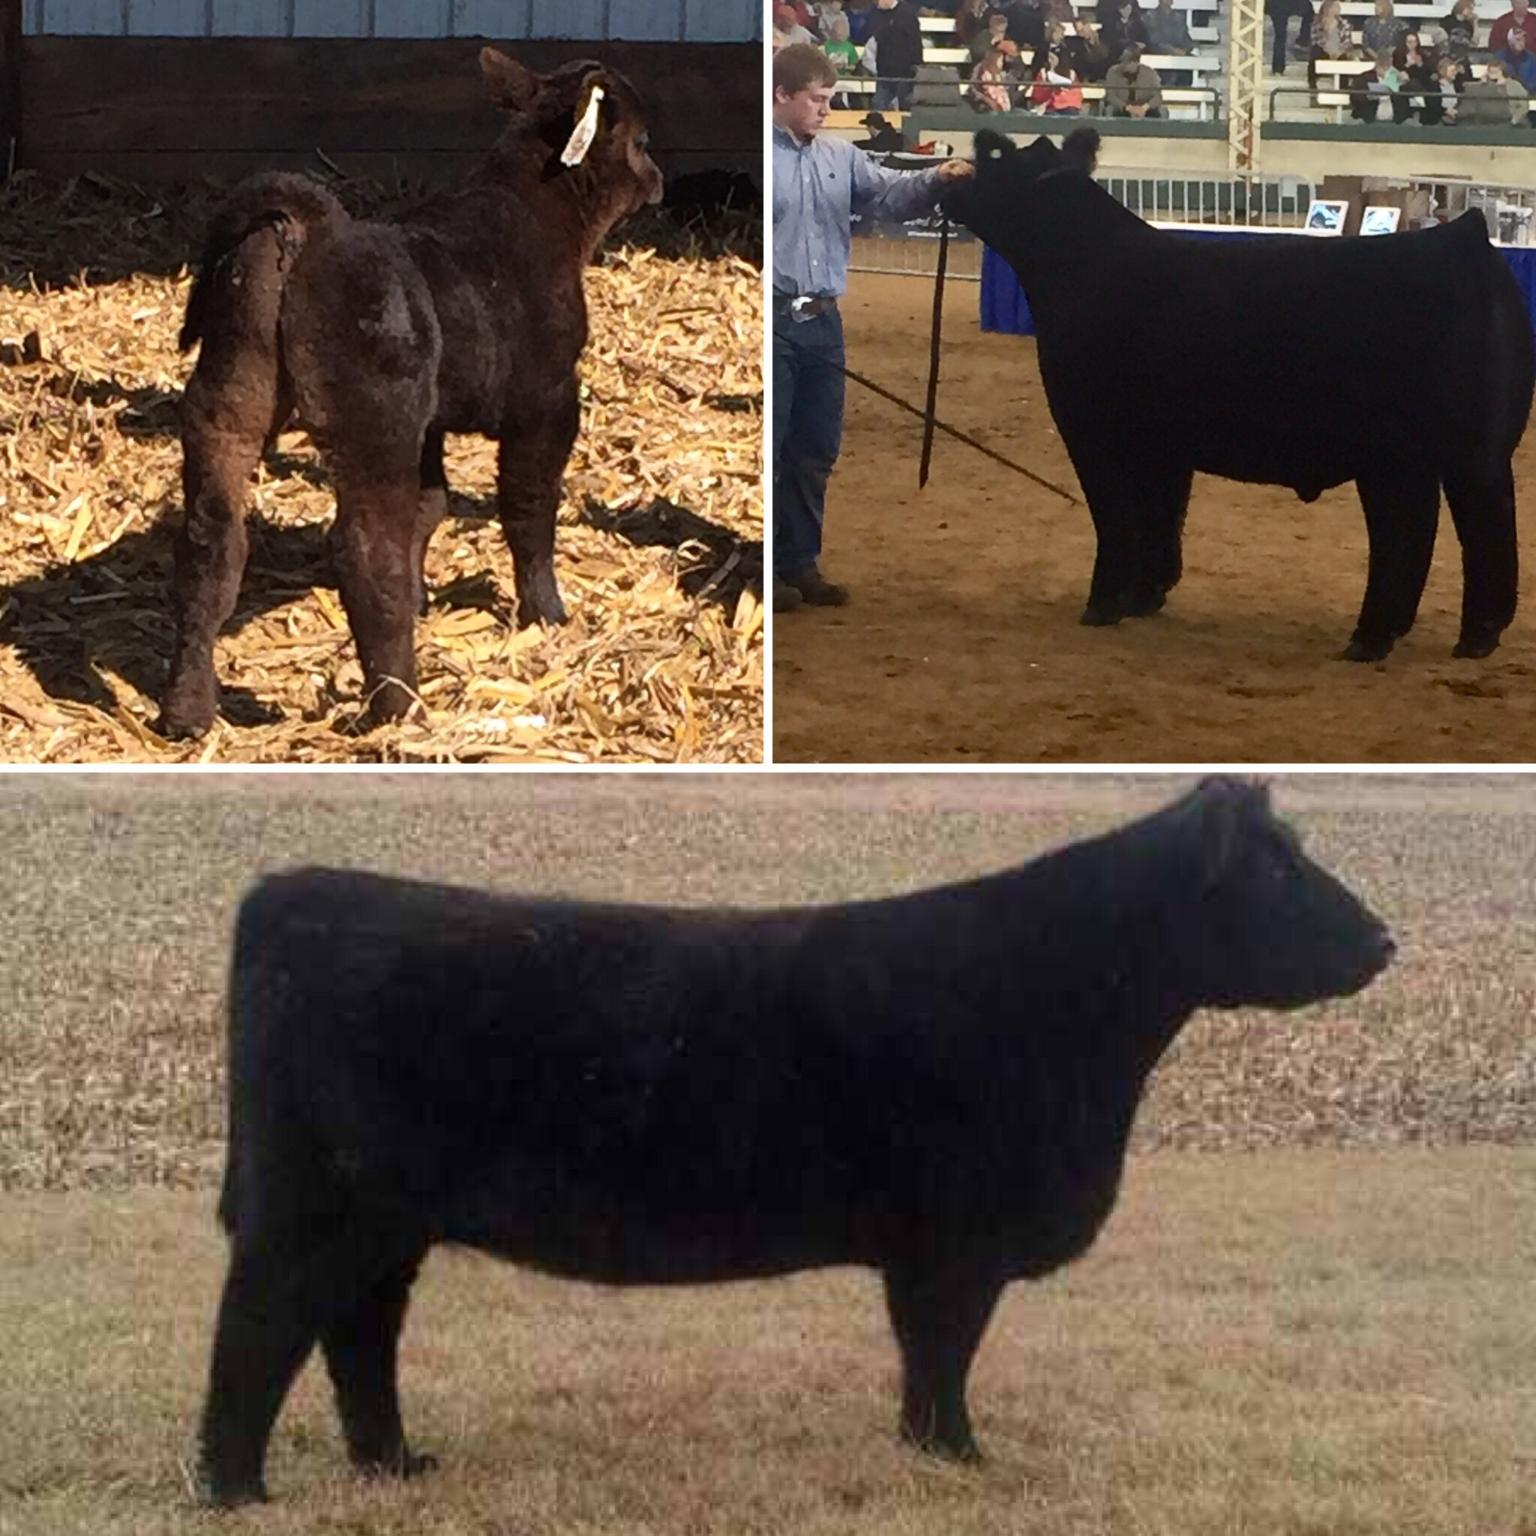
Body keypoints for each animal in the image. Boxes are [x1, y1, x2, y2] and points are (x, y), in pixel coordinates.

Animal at [158, 49, 663, 740]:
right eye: (641, 140)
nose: (659, 178)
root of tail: (310, 233)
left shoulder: (431, 421)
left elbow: (432, 505)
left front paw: (427, 602)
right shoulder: (546, 401)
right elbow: (529, 508)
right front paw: (546, 612)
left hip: (231, 398)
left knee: (211, 543)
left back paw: (187, 711)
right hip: (374, 418)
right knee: (366, 549)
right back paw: (399, 708)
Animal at [196, 778, 1395, 1506]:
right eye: (1278, 869)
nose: (1385, 938)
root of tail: (294, 891)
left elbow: (928, 1356)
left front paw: (928, 1450)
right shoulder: (955, 1239)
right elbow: (944, 1351)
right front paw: (958, 1457)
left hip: (385, 1221)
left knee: (358, 1337)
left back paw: (396, 1465)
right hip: (314, 1208)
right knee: (261, 1328)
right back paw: (234, 1489)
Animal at [940, 128, 1534, 662]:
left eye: (997, 160)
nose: (949, 184)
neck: (1088, 267)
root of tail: (1461, 238)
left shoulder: (1091, 428)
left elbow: (1115, 519)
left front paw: (1102, 606)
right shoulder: (1164, 443)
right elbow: (1162, 518)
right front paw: (1145, 597)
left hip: (1398, 456)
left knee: (1408, 536)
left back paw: (1372, 639)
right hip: (1477, 453)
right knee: (1488, 528)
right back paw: (1476, 638)